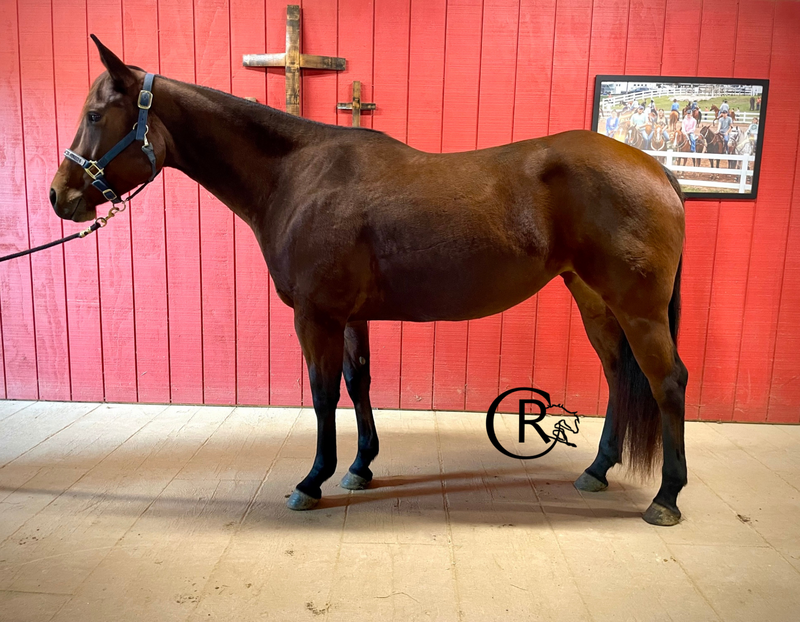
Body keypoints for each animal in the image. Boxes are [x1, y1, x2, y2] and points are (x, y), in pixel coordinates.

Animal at [50, 36, 689, 527]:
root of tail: (655, 168)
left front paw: (312, 481)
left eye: (93, 115)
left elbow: (322, 394)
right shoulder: (350, 315)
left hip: (637, 307)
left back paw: (666, 498)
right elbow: (359, 384)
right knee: (618, 375)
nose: (60, 195)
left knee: (667, 382)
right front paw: (360, 467)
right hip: (594, 299)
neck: (298, 176)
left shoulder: (316, 317)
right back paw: (596, 471)